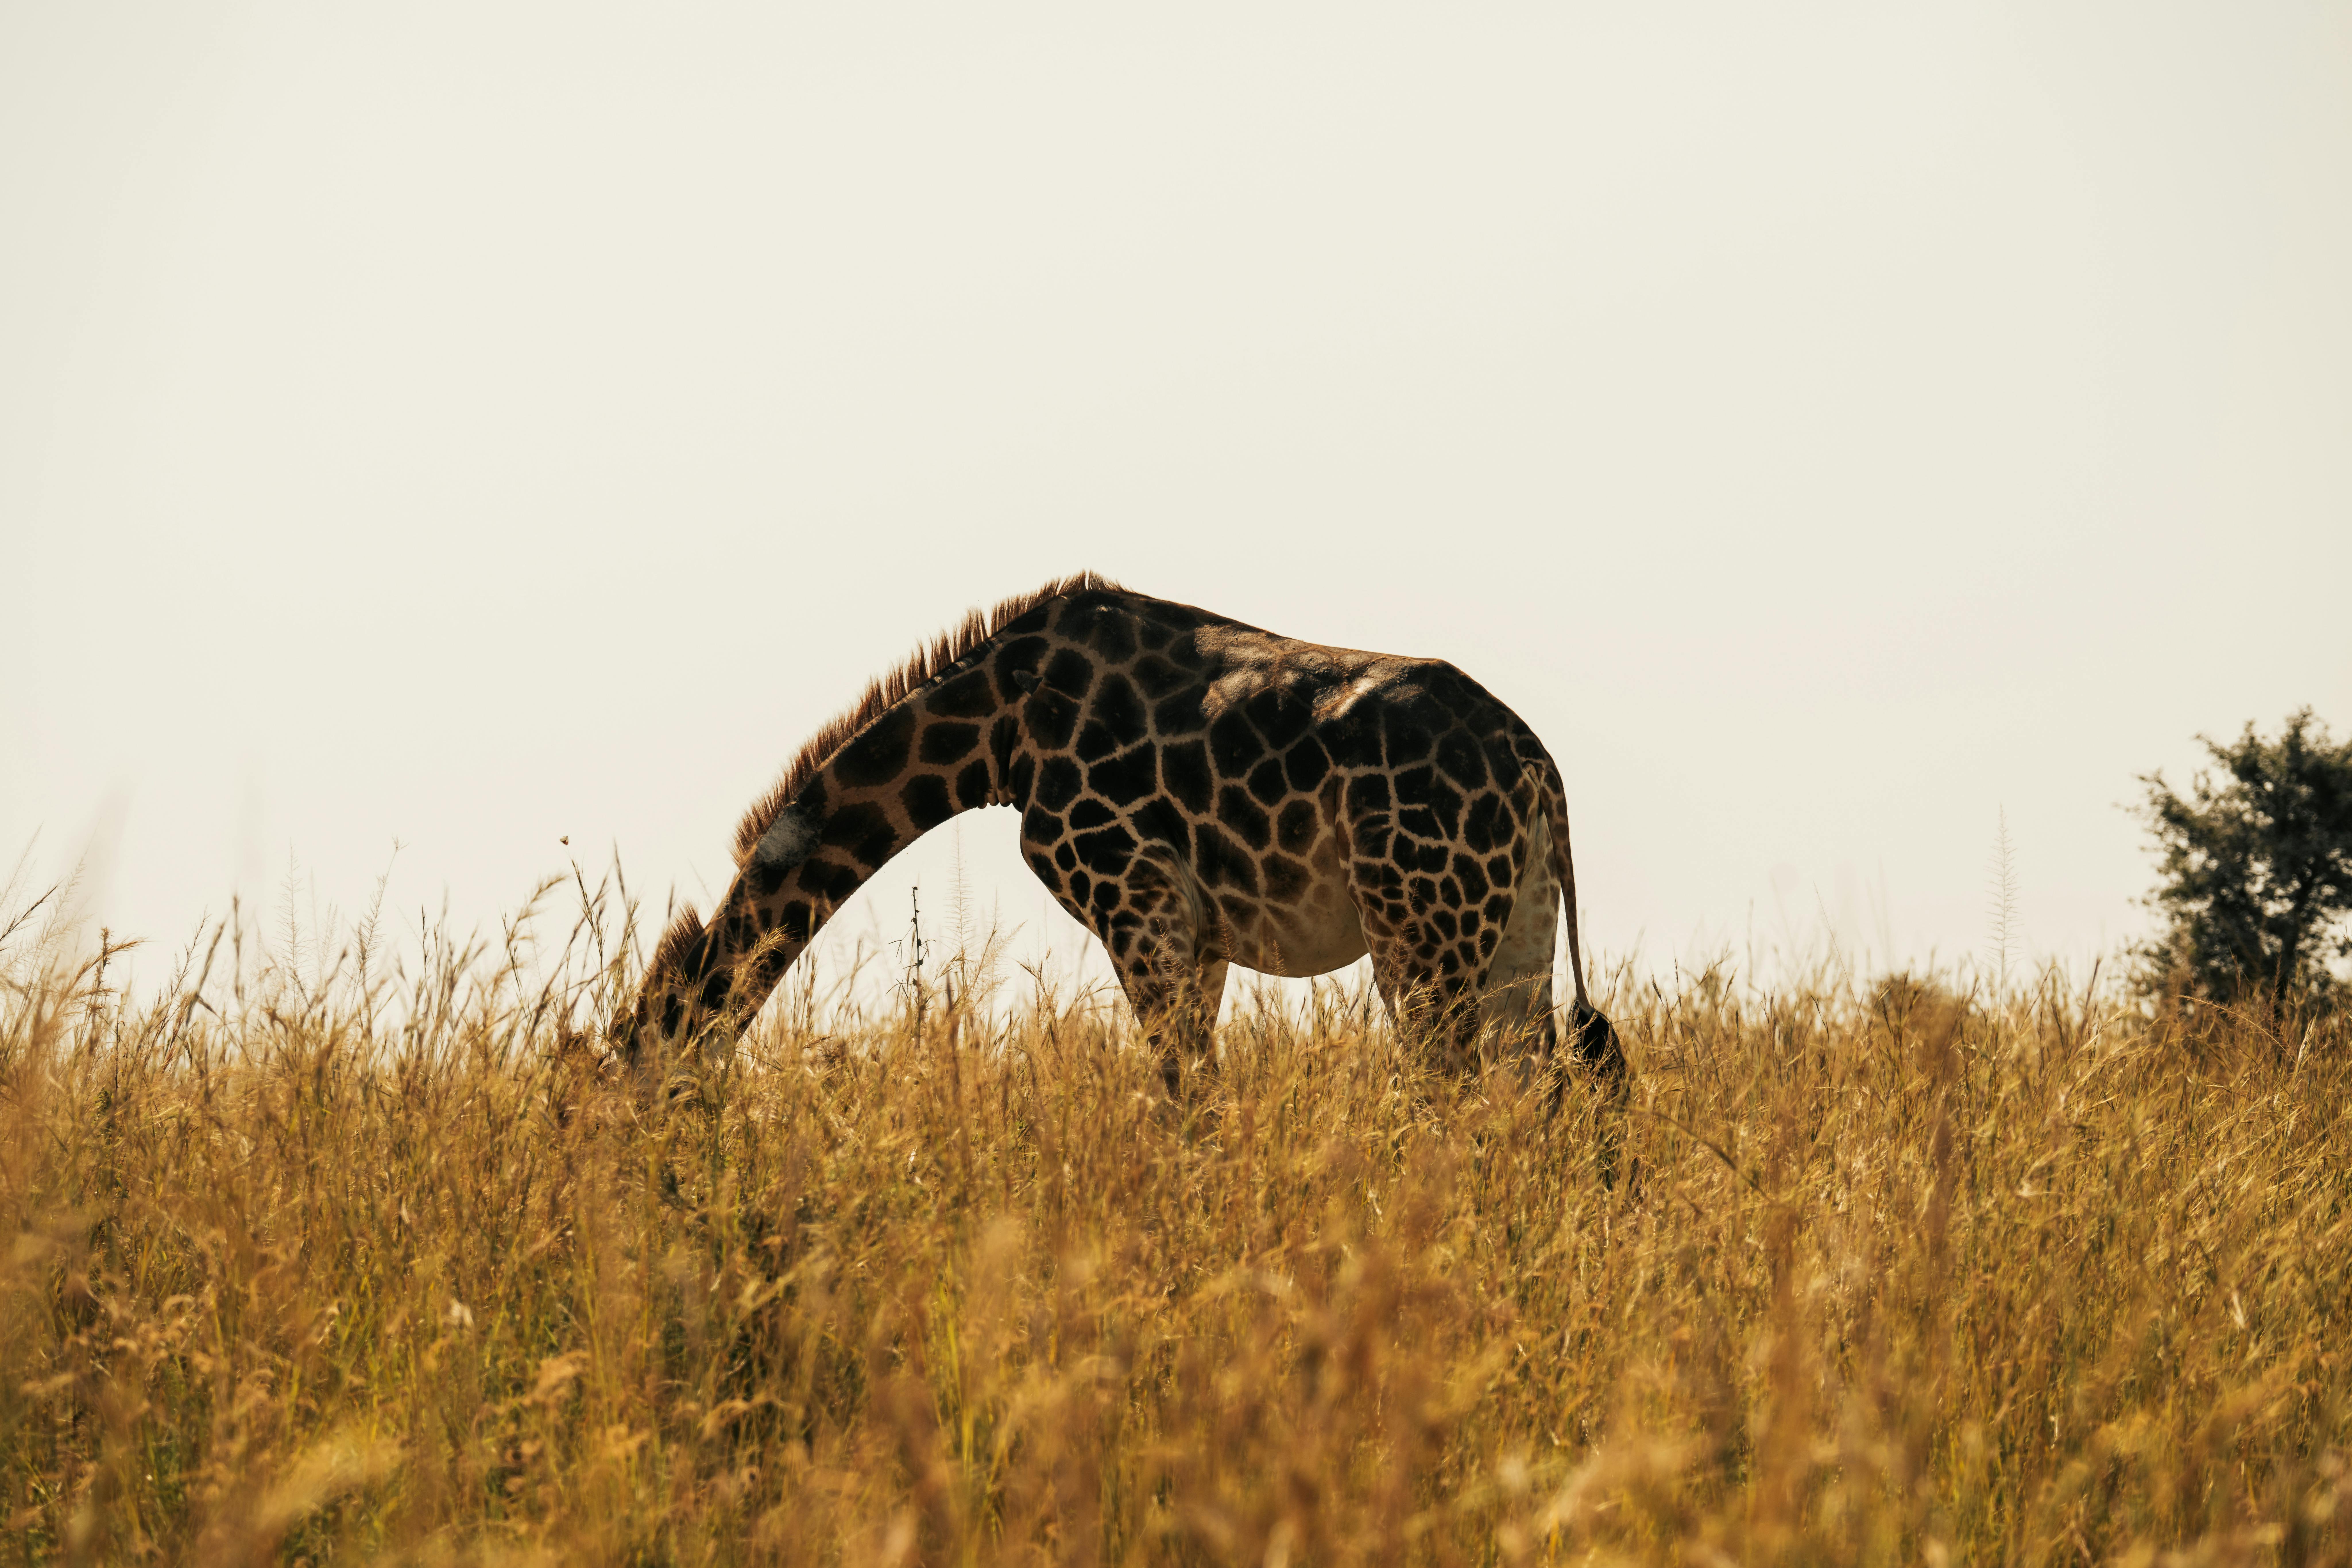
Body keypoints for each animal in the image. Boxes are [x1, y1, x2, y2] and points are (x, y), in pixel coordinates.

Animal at [621, 574, 1624, 1100]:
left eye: (628, 1087)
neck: (1000, 730)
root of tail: (1535, 762)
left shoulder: (1132, 895)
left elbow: (1184, 1097)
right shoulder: (1197, 930)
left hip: (1422, 936)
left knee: (1447, 1095)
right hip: (1517, 928)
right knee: (1534, 1093)